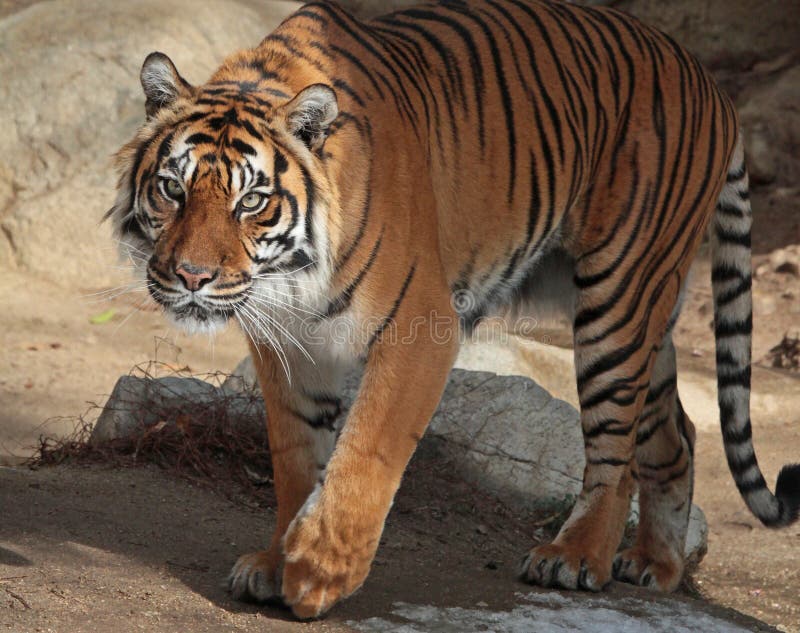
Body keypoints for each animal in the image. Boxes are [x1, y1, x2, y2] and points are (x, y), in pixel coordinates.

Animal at [107, 0, 800, 619]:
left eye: (250, 201)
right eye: (172, 189)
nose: (192, 277)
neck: (291, 280)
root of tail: (710, 81)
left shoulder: (421, 328)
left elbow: (365, 451)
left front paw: (319, 571)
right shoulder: (289, 343)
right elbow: (297, 458)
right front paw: (278, 561)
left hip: (618, 297)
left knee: (617, 448)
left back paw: (576, 557)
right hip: (642, 307)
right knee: (677, 431)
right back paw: (656, 563)